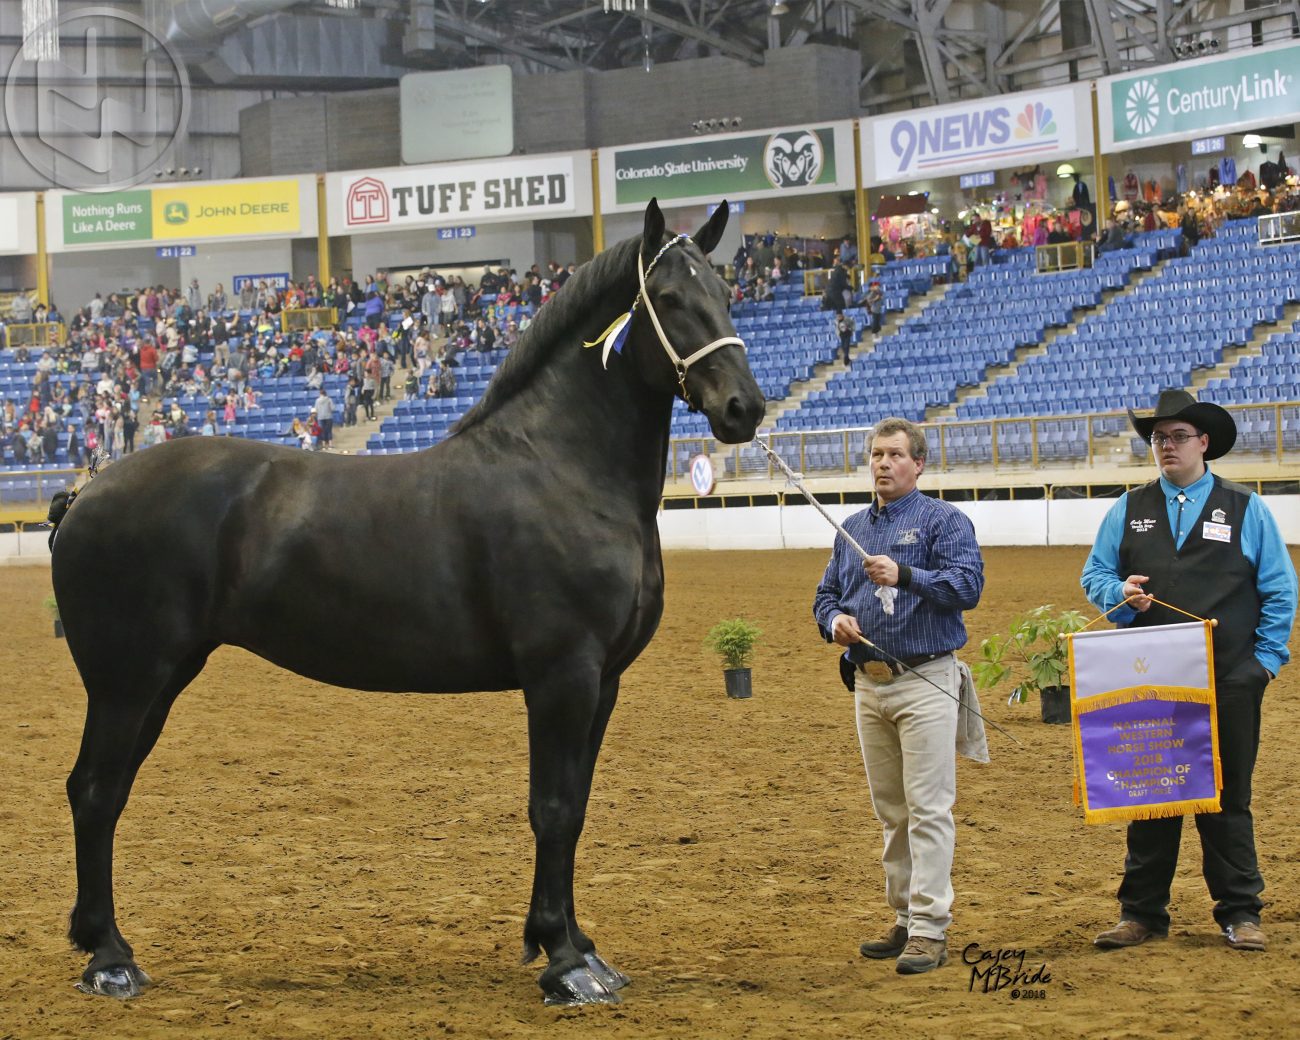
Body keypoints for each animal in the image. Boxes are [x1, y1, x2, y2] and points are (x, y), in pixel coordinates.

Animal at [48, 198, 765, 1007]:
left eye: (727, 292)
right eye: (669, 299)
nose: (744, 409)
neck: (562, 469)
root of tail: (86, 491)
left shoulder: (601, 685)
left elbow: (575, 809)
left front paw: (579, 946)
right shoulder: (562, 677)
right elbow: (550, 809)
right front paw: (563, 962)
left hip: (161, 679)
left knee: (103, 792)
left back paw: (100, 943)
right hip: (127, 683)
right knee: (96, 792)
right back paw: (109, 959)